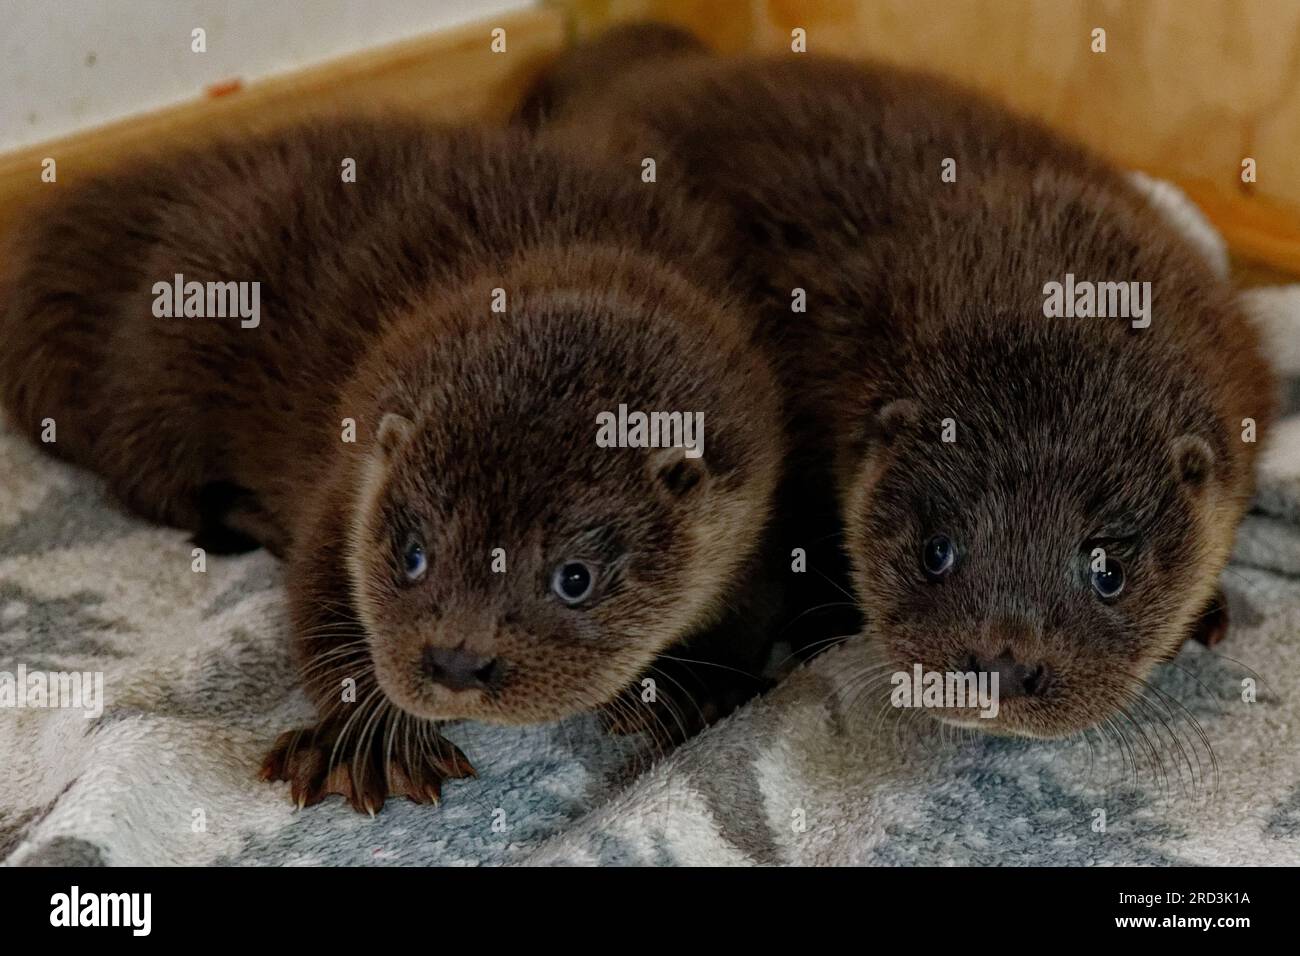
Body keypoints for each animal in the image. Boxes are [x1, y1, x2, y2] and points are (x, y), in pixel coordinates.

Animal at [0, 119, 783, 810]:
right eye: (413, 556)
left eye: (575, 578)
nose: (457, 663)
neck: (570, 260)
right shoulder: (349, 472)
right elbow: (319, 591)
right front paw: (364, 745)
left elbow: (754, 604)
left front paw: (695, 687)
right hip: (153, 381)